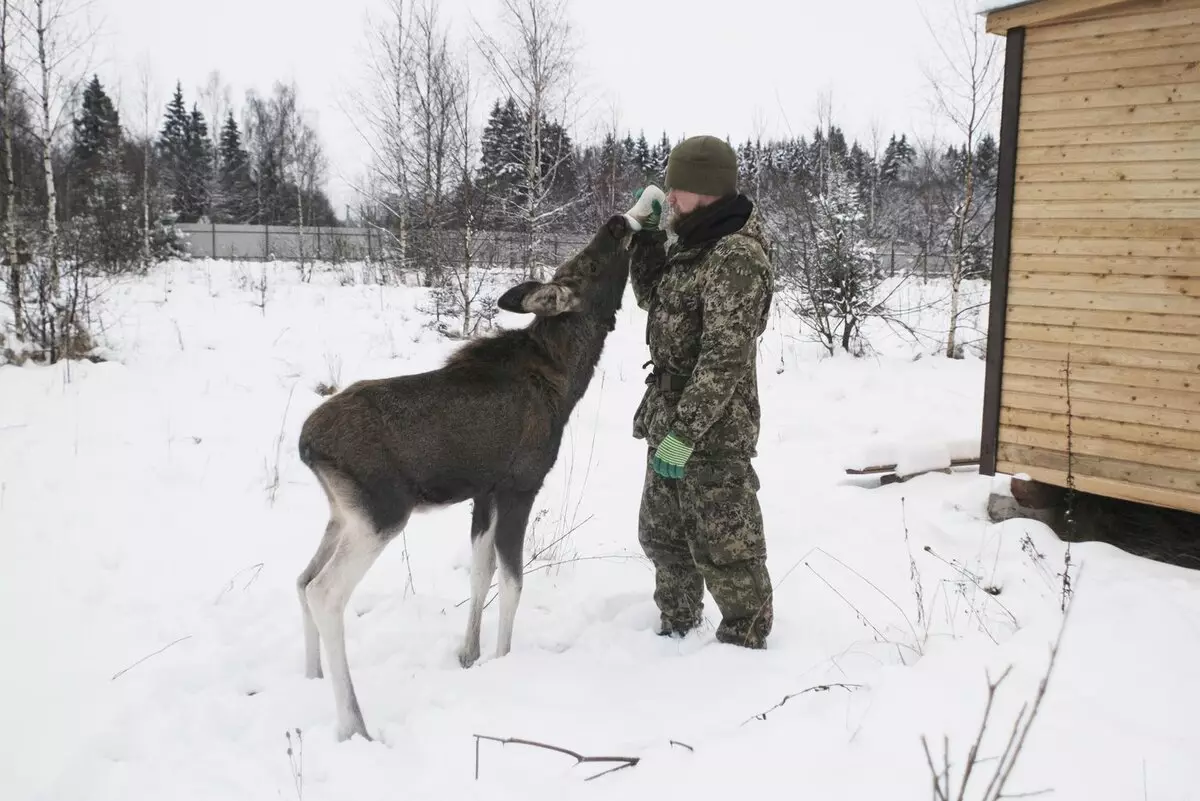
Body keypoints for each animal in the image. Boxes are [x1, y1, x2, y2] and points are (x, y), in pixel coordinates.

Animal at [295, 211, 643, 738]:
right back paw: (354, 723)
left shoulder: (485, 493)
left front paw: (469, 654)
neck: (567, 382)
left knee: (301, 579)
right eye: (590, 262)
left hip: (341, 513)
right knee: (325, 592)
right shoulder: (520, 486)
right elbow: (514, 581)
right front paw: (502, 659)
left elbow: (481, 575)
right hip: (381, 515)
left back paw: (312, 677)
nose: (618, 221)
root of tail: (306, 444)